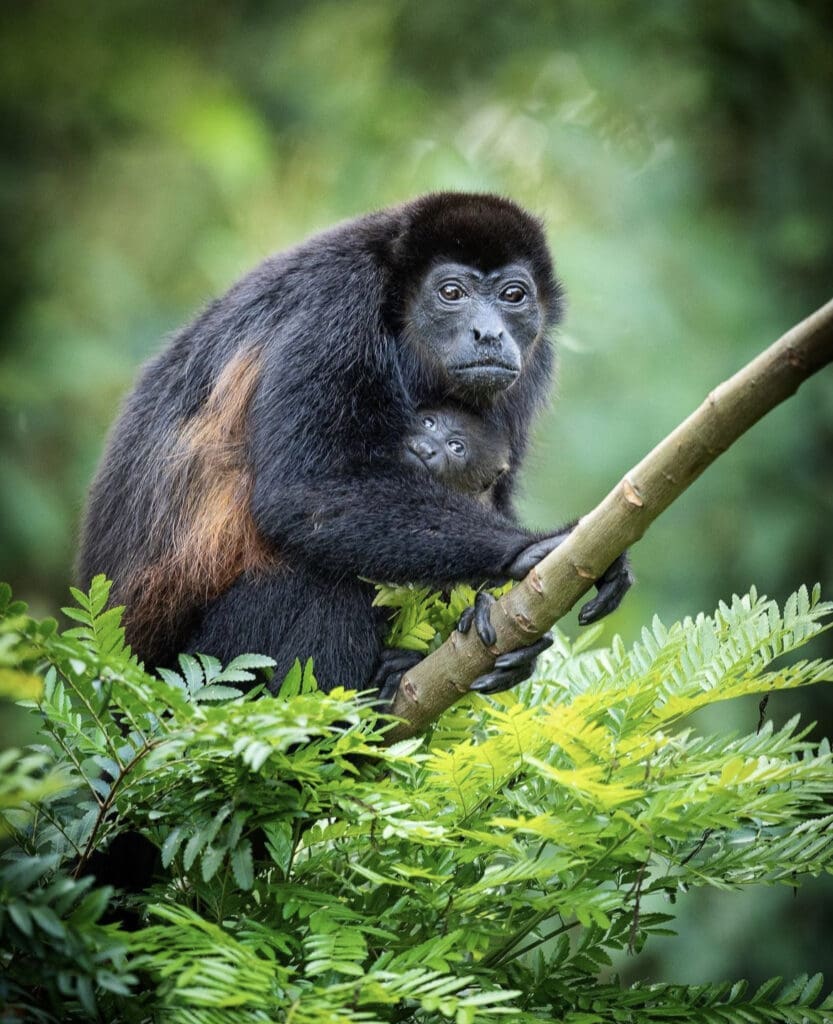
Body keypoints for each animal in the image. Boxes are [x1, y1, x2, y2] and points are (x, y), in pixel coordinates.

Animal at [78, 192, 632, 699]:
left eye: (514, 296)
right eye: (451, 292)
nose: (489, 334)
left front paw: (509, 641)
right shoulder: (337, 309)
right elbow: (306, 493)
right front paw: (531, 550)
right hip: (205, 665)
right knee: (322, 577)